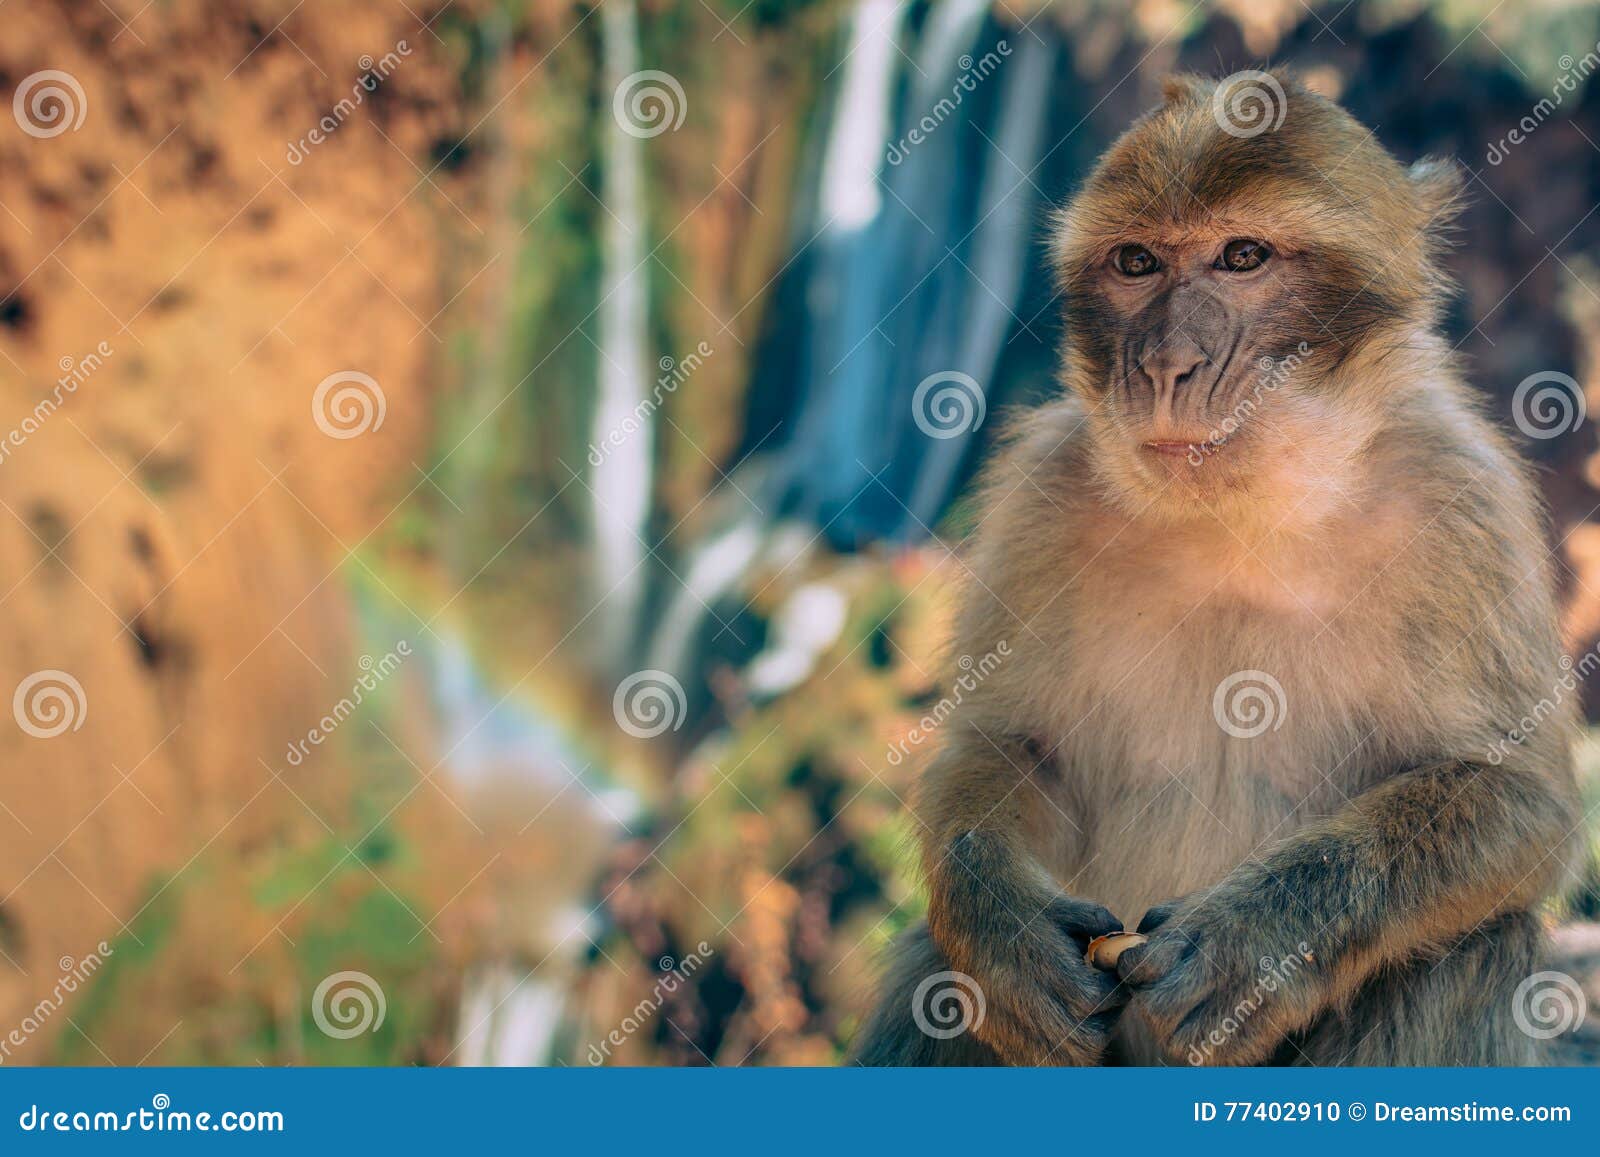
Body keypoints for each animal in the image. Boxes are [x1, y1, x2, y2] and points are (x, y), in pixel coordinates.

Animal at [851, 71, 1582, 1067]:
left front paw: (1256, 944)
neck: (1245, 512)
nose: (1165, 363)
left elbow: (1518, 794)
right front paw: (1007, 935)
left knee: (1469, 948)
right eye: (1135, 263)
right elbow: (1012, 745)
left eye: (1242, 256)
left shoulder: (1463, 502)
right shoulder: (1043, 489)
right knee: (934, 965)